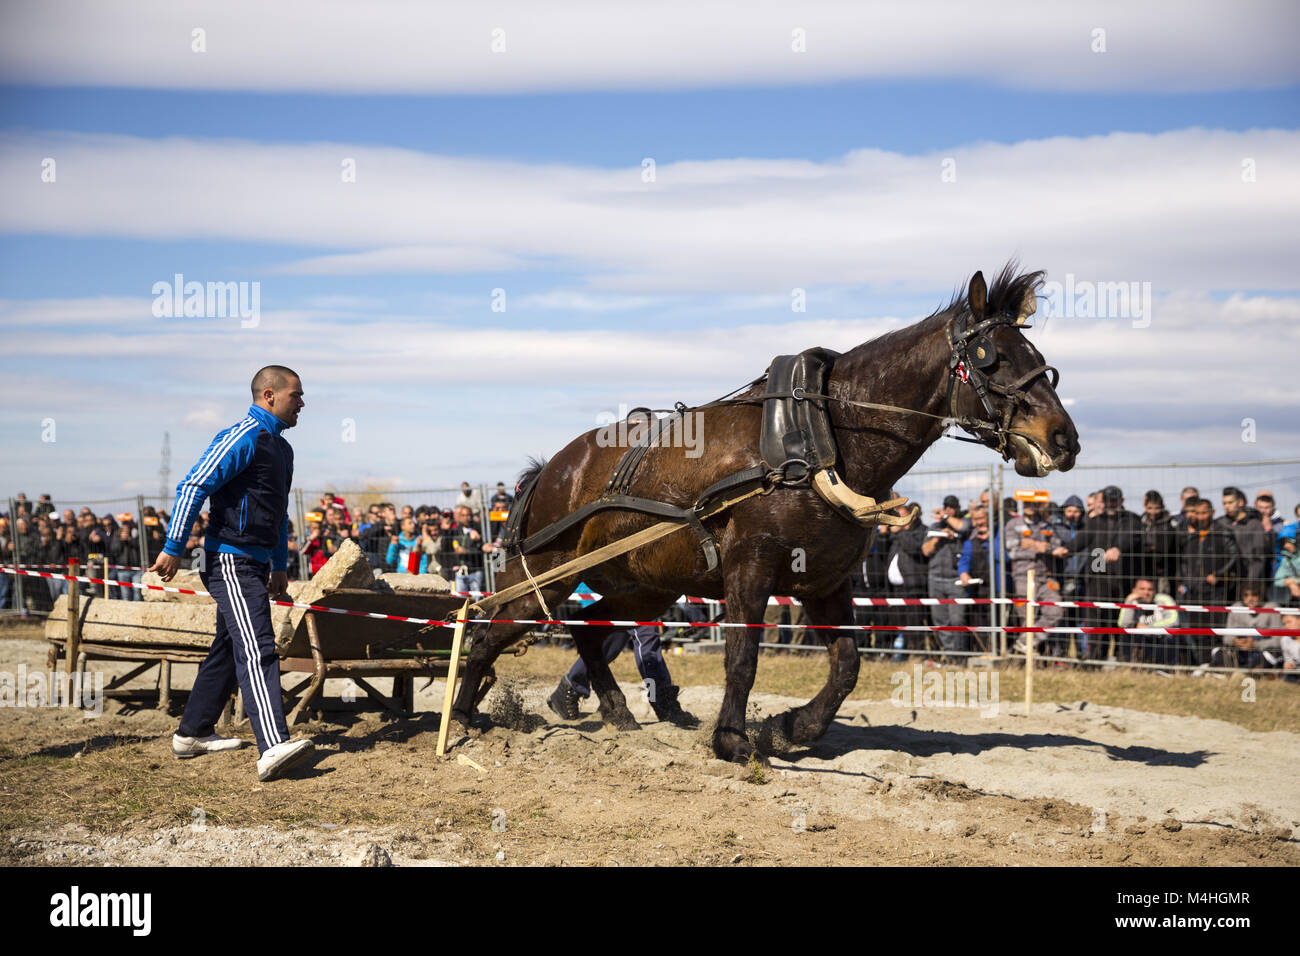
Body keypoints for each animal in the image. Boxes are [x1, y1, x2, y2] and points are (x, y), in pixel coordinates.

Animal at [449, 264, 1079, 763]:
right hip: (545, 580)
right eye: (991, 359)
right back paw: (461, 717)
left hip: (644, 586)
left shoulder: (825, 581)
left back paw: (619, 715)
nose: (1065, 438)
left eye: (1042, 361)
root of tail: (551, 471)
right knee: (485, 632)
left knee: (587, 627)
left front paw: (792, 726)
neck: (819, 439)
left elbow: (847, 664)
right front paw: (732, 740)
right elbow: (742, 658)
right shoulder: (749, 569)